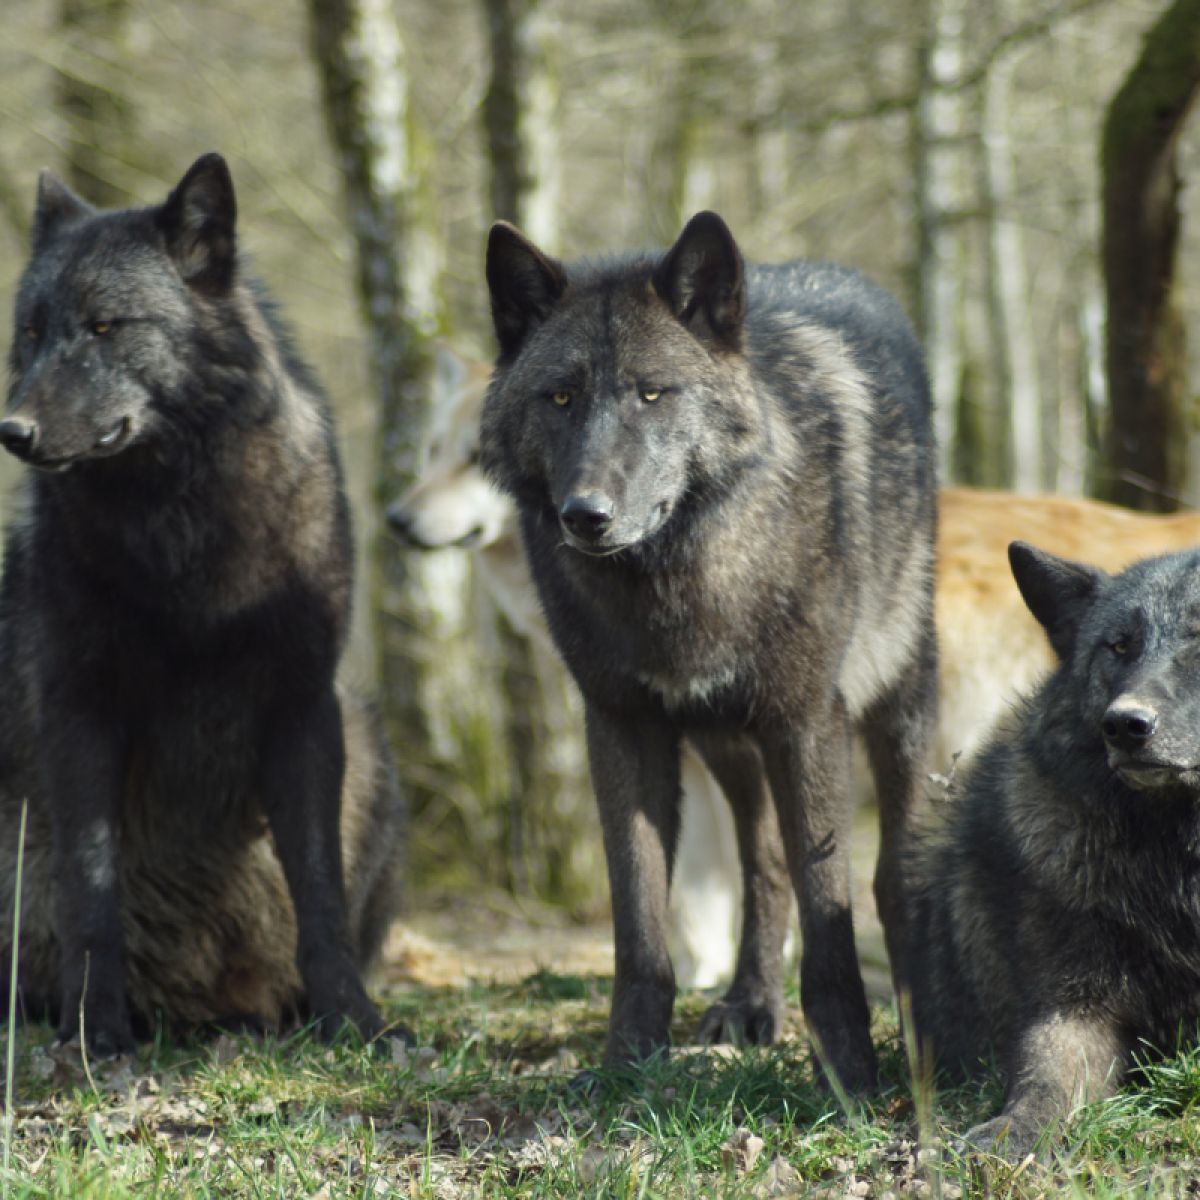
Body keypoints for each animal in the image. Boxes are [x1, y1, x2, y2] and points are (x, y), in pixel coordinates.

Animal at [0, 154, 405, 1053]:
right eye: (32, 333)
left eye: (105, 327)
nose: (11, 432)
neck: (181, 532)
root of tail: (192, 1011)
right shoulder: (79, 710)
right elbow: (90, 888)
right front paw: (95, 1031)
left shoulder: (304, 707)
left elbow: (319, 892)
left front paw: (352, 1019)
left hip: (372, 745)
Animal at [479, 212, 938, 1090]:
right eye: (561, 396)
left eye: (652, 392)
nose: (585, 514)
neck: (676, 582)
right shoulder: (622, 727)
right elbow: (639, 917)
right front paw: (626, 1064)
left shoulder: (806, 723)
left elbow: (830, 906)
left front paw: (848, 1073)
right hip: (727, 743)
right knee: (763, 865)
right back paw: (751, 1003)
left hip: (895, 707)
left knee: (892, 869)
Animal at [909, 542, 1200, 1158]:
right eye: (1119, 646)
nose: (1126, 725)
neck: (1179, 861)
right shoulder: (1072, 1008)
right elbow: (1045, 1076)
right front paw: (1014, 1130)